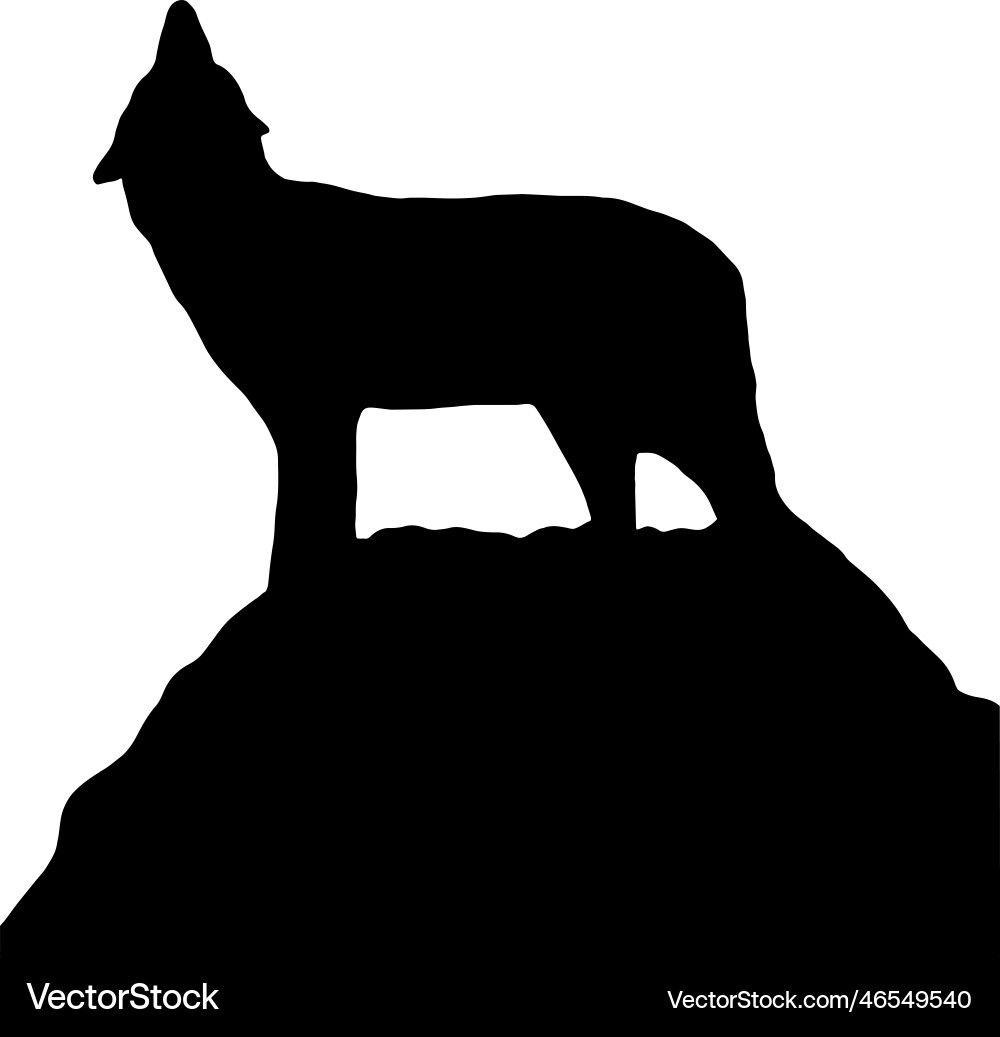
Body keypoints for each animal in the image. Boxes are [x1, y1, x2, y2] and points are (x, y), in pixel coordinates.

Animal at [94, 1, 779, 540]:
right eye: (173, 71)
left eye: (207, 72)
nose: (181, 8)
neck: (236, 227)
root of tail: (726, 264)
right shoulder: (306, 415)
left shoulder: (317, 409)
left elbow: (310, 517)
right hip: (587, 418)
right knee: (642, 506)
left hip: (660, 413)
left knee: (749, 495)